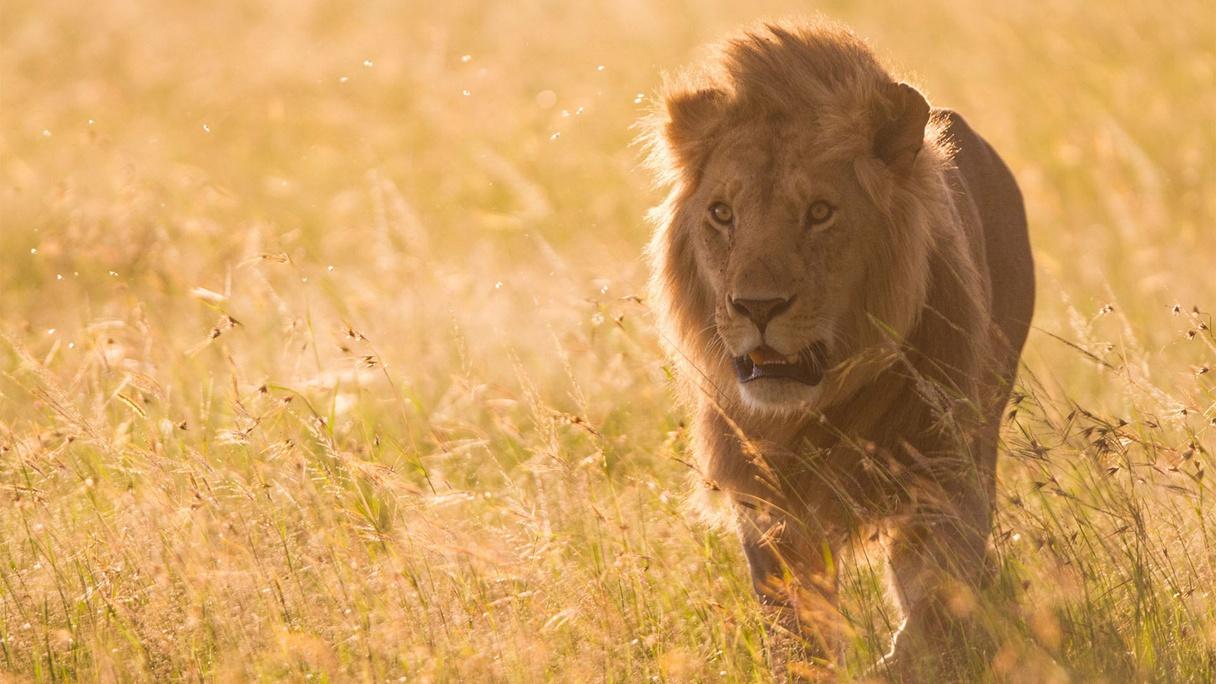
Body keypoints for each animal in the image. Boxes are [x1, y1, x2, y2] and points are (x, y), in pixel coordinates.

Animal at [642, 19, 1035, 679]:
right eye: (722, 213)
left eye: (820, 212)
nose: (757, 307)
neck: (820, 411)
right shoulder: (769, 508)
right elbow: (794, 629)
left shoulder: (945, 477)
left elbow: (931, 607)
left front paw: (913, 657)